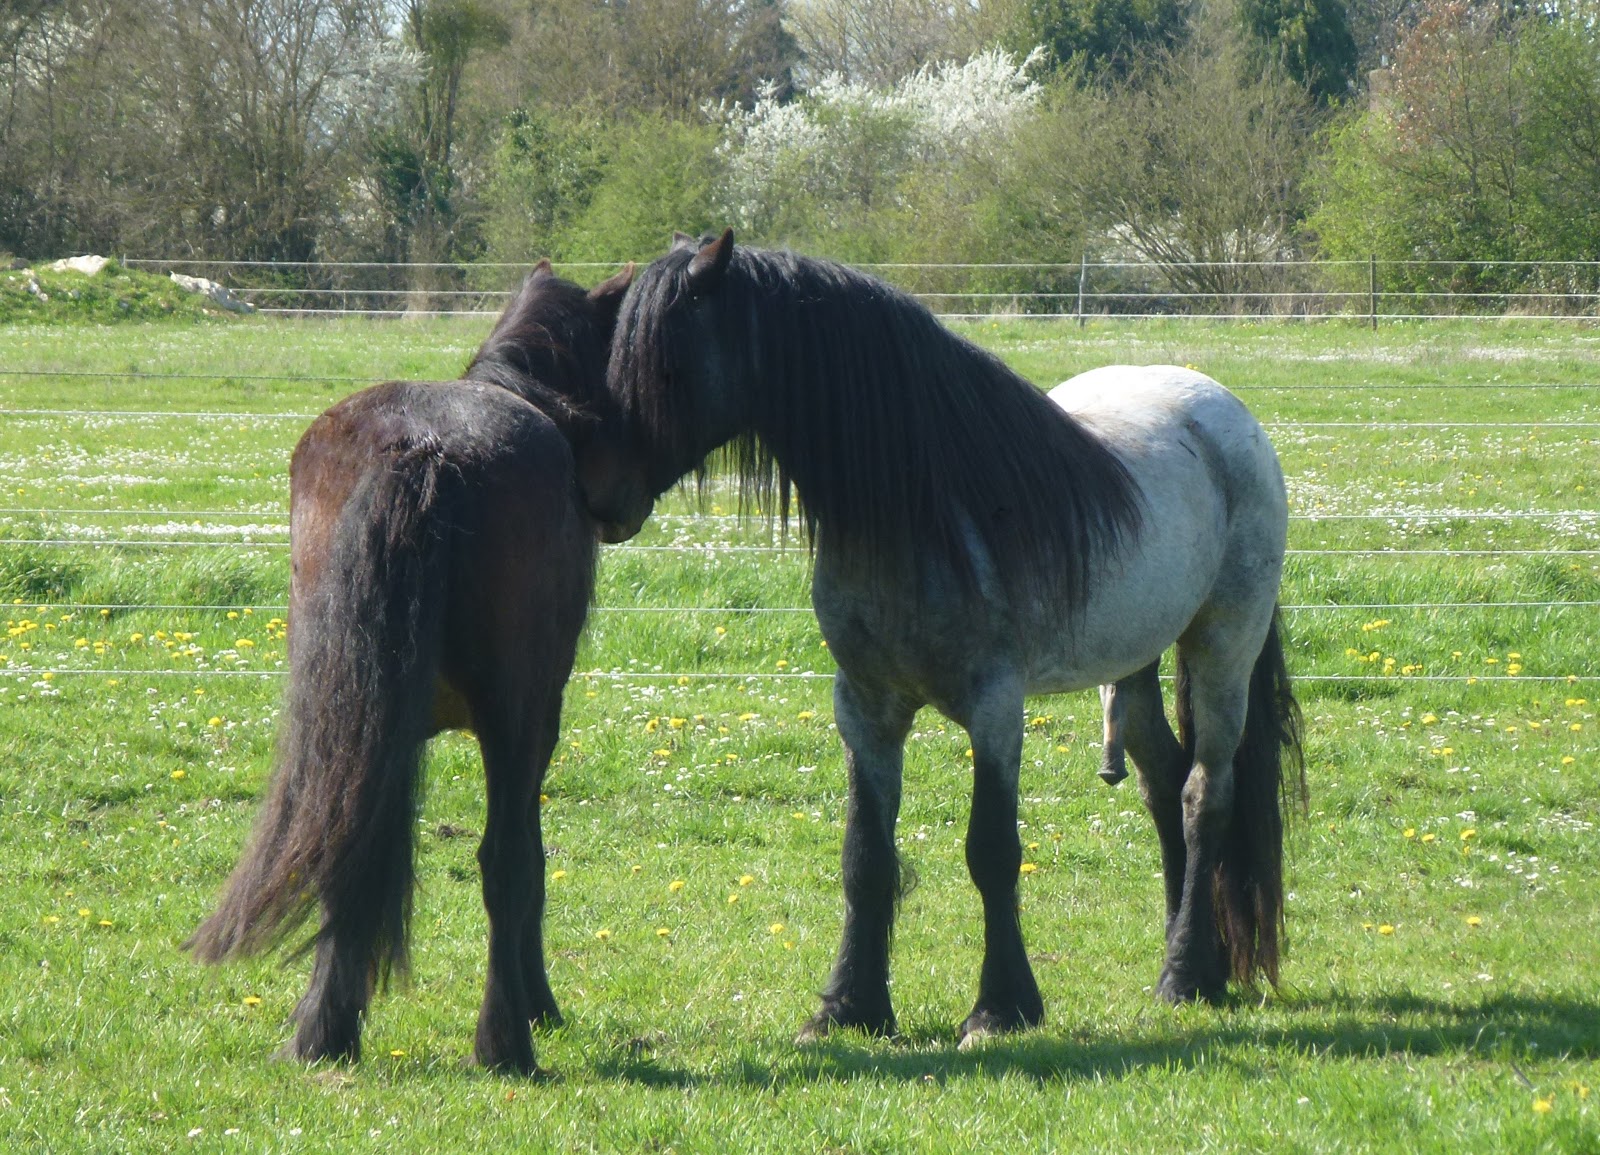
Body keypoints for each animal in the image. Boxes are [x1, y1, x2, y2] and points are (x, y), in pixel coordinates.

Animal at [186, 262, 653, 1074]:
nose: (628, 506)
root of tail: (418, 446)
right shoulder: (538, 726)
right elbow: (528, 865)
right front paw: (541, 1003)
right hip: (513, 719)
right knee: (504, 862)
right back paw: (506, 1043)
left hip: (341, 717)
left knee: (339, 842)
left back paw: (323, 1034)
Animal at [608, 230, 1306, 1047]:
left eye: (667, 363)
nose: (607, 496)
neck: (922, 510)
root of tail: (1227, 414)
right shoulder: (866, 709)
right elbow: (866, 856)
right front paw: (849, 1005)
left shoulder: (995, 708)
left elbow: (991, 851)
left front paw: (1001, 1007)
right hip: (1132, 661)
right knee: (1163, 780)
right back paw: (1197, 962)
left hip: (1224, 645)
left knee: (1203, 794)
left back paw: (1184, 976)